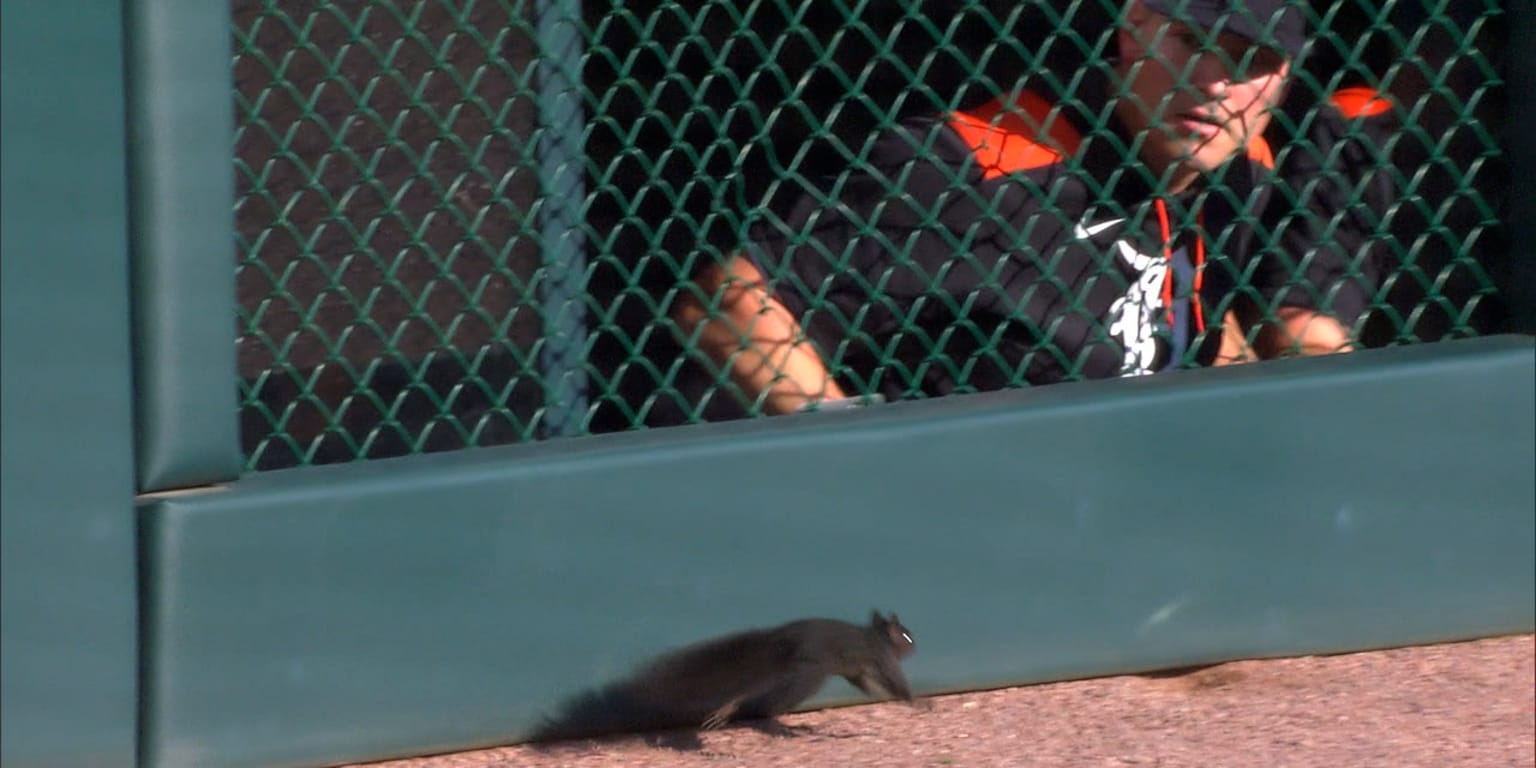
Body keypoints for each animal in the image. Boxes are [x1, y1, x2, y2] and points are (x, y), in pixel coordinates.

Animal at [530, 610, 918, 741]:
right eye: (906, 636)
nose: (915, 647)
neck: (875, 637)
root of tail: (777, 640)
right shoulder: (882, 659)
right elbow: (896, 682)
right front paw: (919, 704)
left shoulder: (860, 670)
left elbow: (866, 682)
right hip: (807, 673)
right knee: (764, 696)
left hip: (793, 670)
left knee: (754, 691)